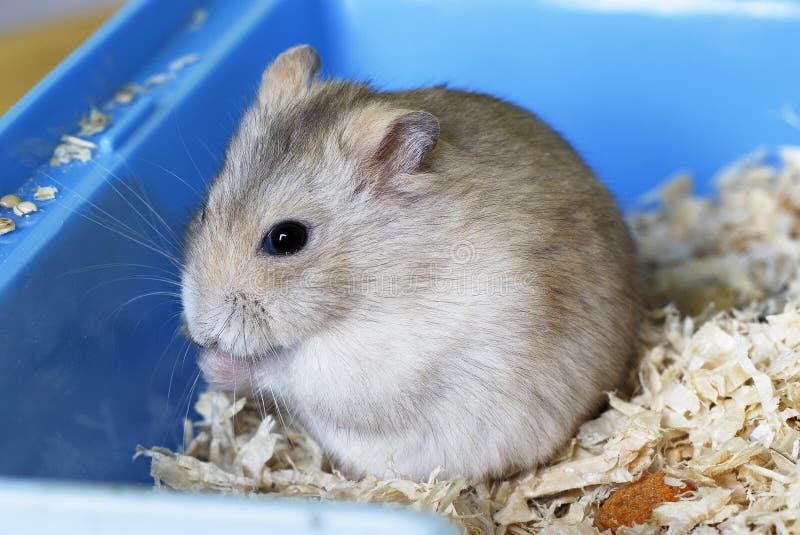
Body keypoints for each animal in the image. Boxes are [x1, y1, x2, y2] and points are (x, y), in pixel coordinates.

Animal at [181, 45, 640, 482]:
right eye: (204, 210)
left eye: (286, 238)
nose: (202, 333)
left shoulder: (375, 366)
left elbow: (284, 370)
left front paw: (211, 364)